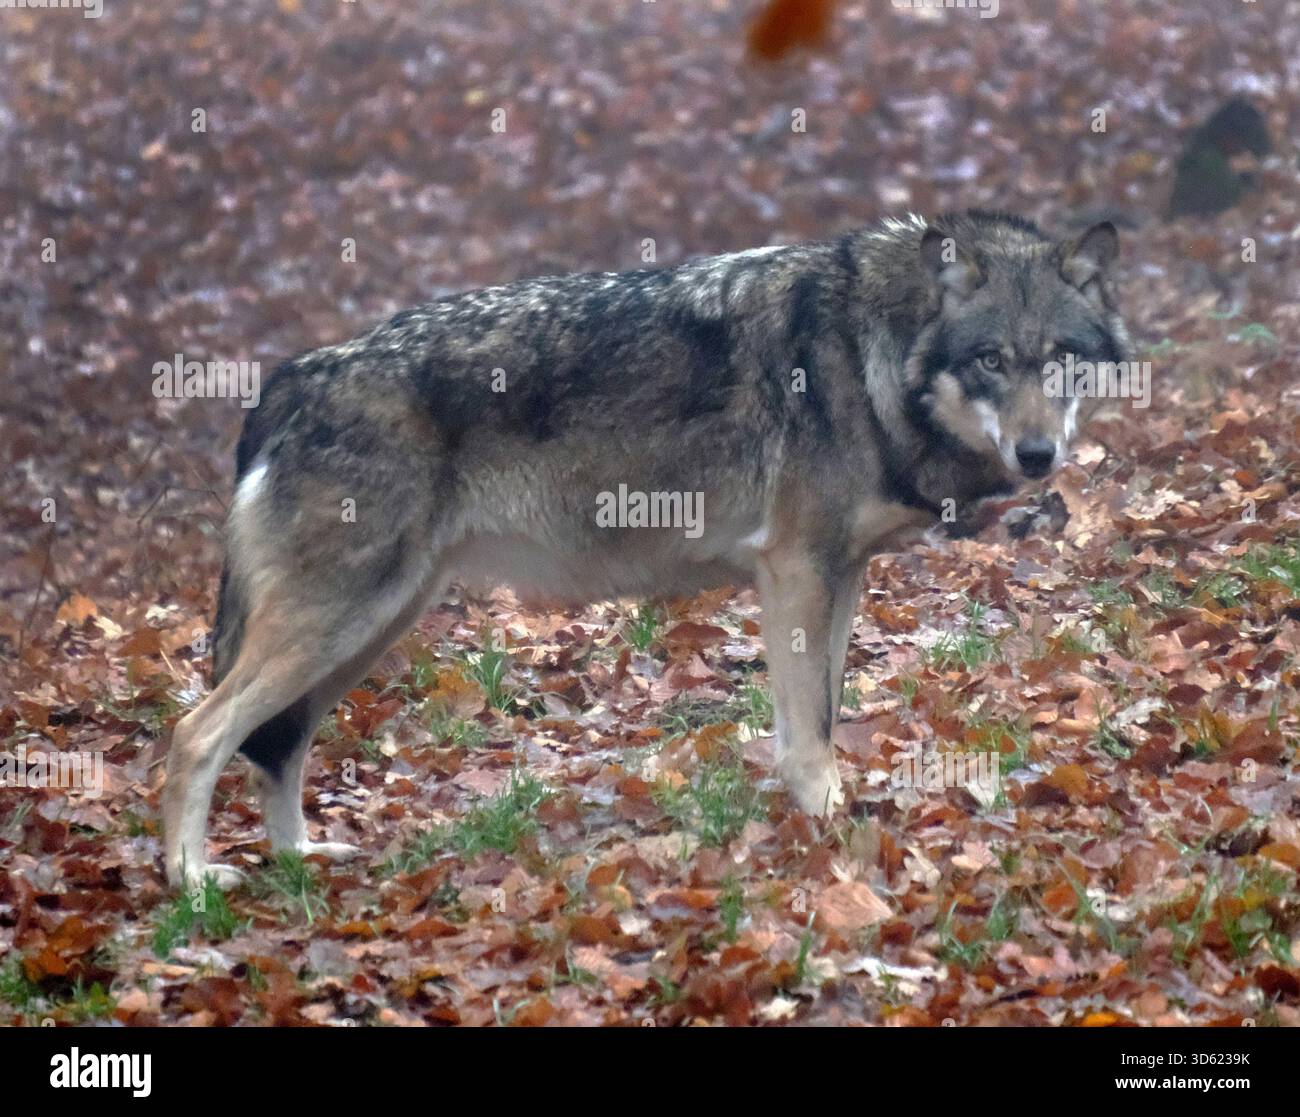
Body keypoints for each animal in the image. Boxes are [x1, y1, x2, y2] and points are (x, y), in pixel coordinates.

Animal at [163, 210, 1131, 888]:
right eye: (992, 360)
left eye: (1060, 357)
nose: (1037, 455)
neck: (873, 355)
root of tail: (290, 378)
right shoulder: (796, 571)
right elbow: (811, 726)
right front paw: (828, 820)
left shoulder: (835, 578)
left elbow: (808, 715)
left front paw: (805, 820)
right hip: (336, 625)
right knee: (196, 733)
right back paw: (191, 882)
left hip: (369, 629)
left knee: (279, 744)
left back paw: (298, 857)